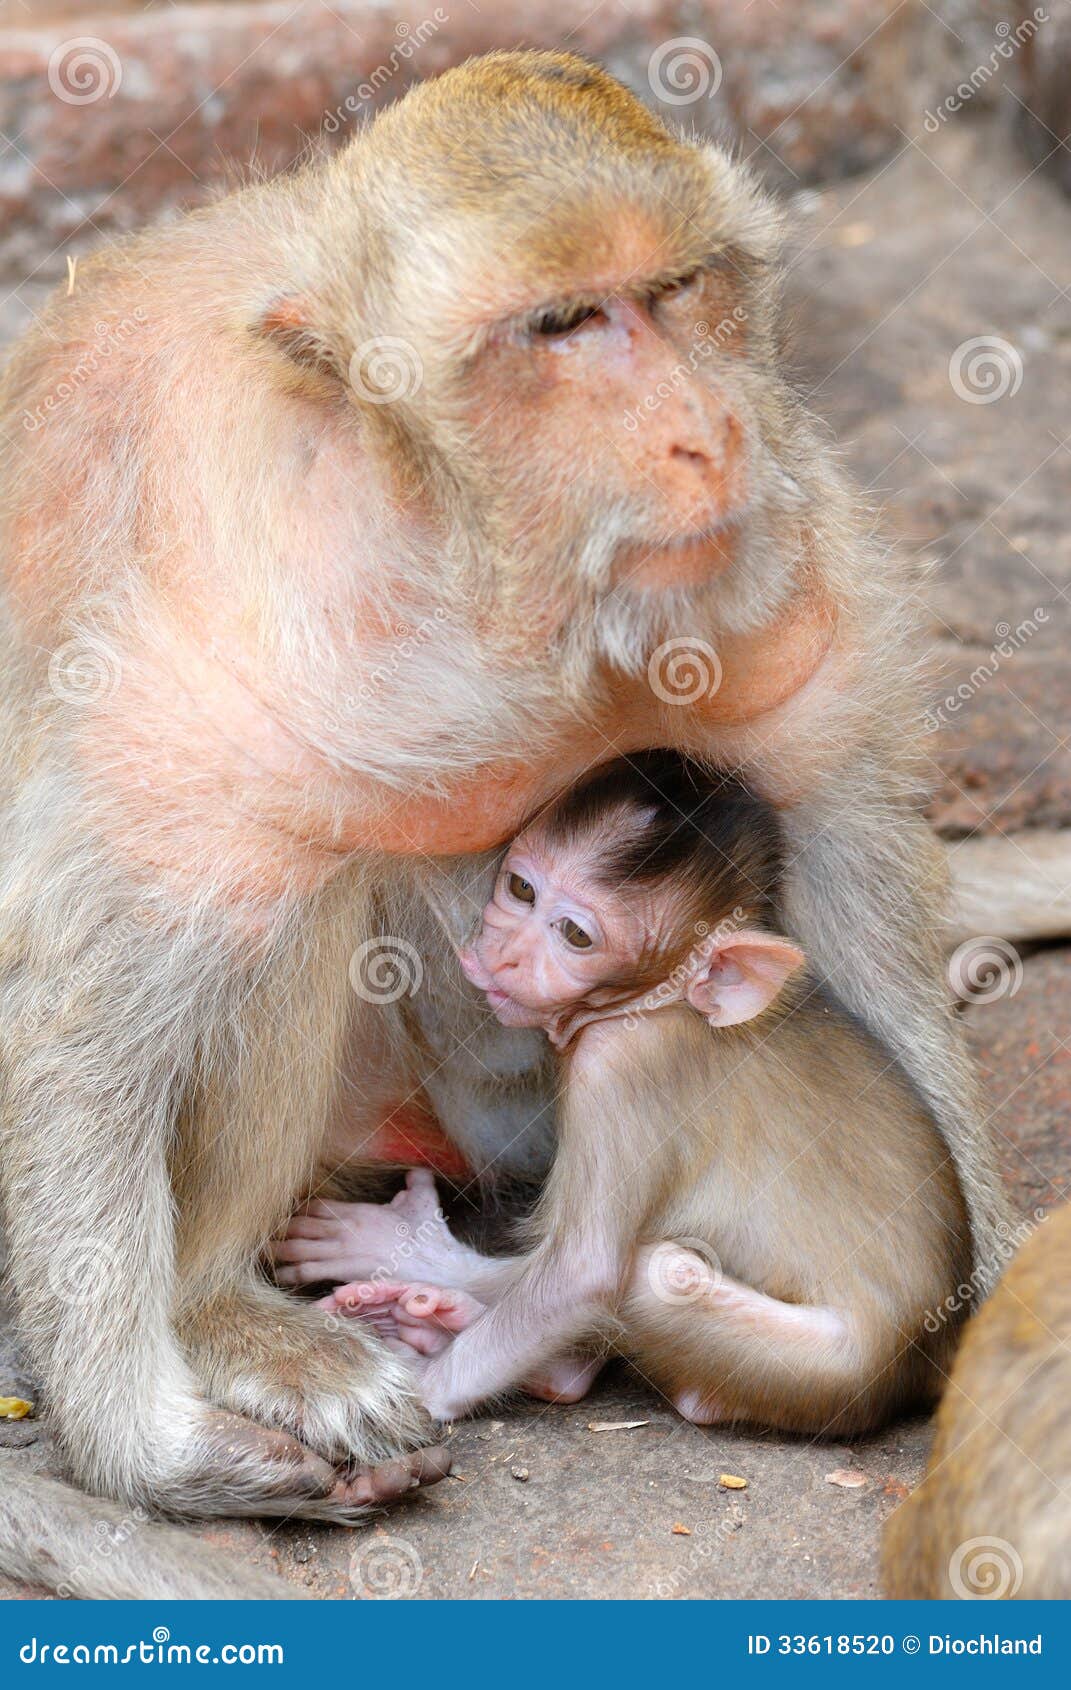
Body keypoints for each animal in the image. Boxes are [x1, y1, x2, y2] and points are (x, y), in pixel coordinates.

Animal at [282, 753, 971, 1434]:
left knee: (660, 1274)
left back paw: (542, 1366)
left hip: (824, 1372)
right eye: (522, 890)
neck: (658, 1003)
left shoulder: (621, 1067)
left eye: (575, 936)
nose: (503, 955)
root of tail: (927, 1363)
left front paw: (423, 1383)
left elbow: (583, 1273)